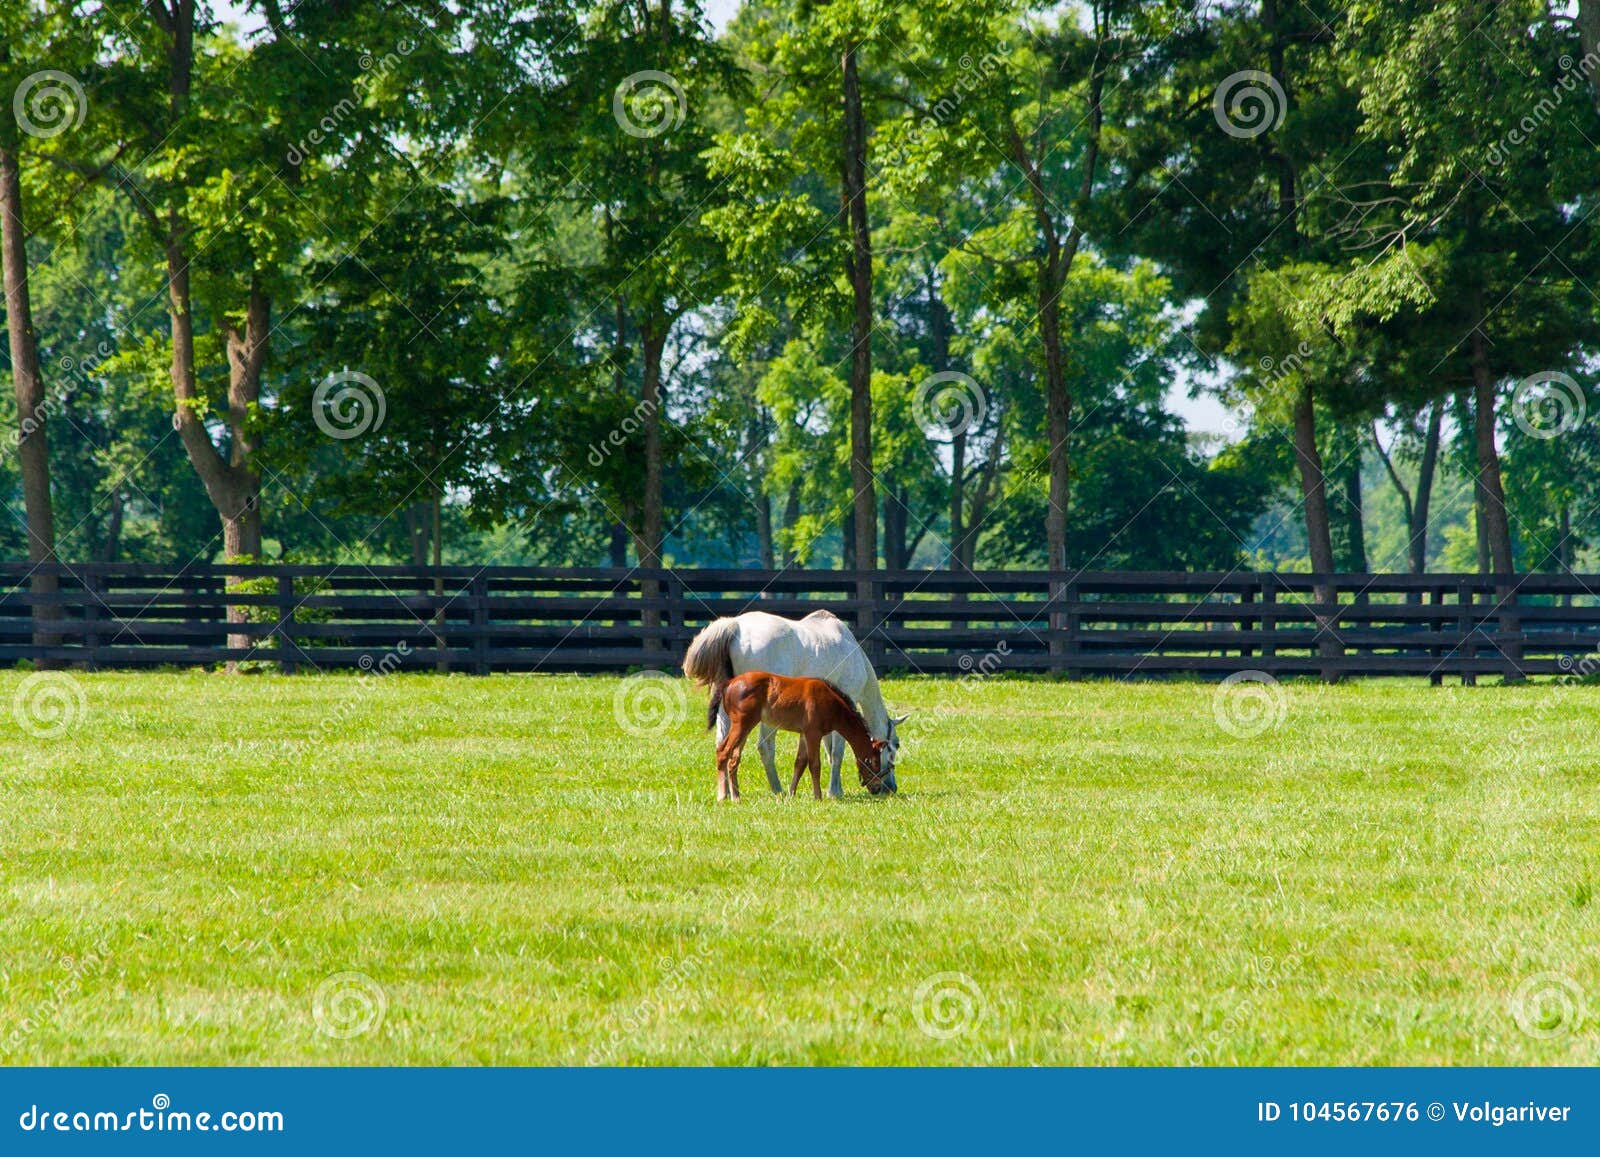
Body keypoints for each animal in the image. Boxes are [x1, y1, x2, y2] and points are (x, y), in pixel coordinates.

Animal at [707, 671, 888, 801]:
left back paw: (736, 796)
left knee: (733, 758)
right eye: (874, 763)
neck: (831, 702)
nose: (877, 788)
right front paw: (818, 797)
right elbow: (815, 764)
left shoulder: (803, 734)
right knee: (723, 752)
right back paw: (722, 796)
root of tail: (729, 683)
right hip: (742, 725)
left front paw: (791, 794)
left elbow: (800, 763)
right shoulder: (813, 733)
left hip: (744, 728)